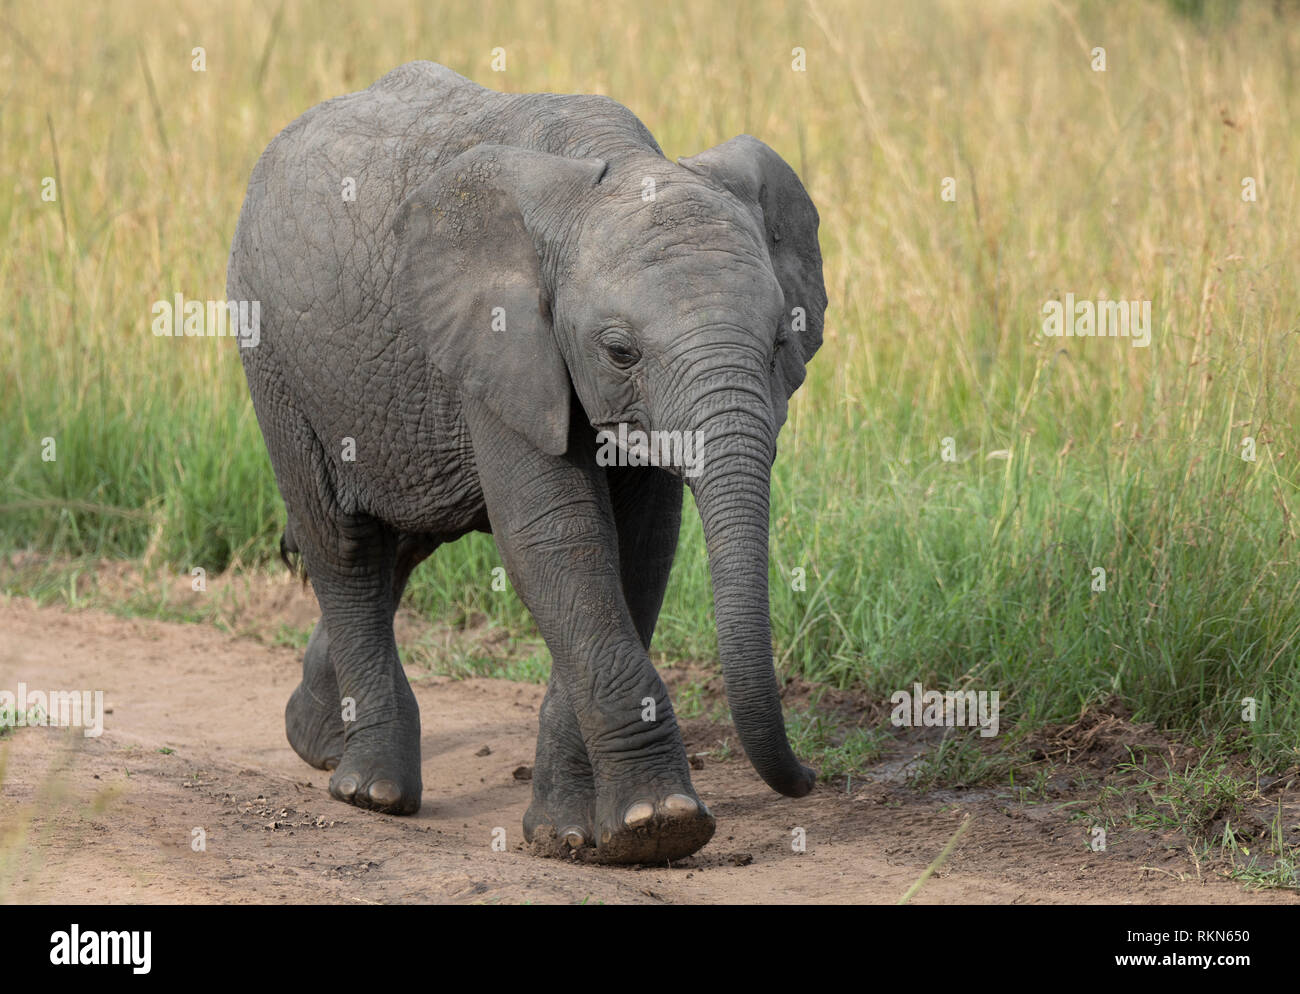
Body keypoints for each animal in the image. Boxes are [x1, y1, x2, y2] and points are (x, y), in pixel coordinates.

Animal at [226, 61, 827, 864]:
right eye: (620, 351)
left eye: (779, 342)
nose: (811, 779)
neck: (613, 163)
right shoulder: (501, 339)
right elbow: (559, 537)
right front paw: (661, 824)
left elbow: (637, 550)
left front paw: (570, 836)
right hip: (272, 353)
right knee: (343, 544)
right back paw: (371, 791)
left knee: (401, 541)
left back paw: (314, 742)